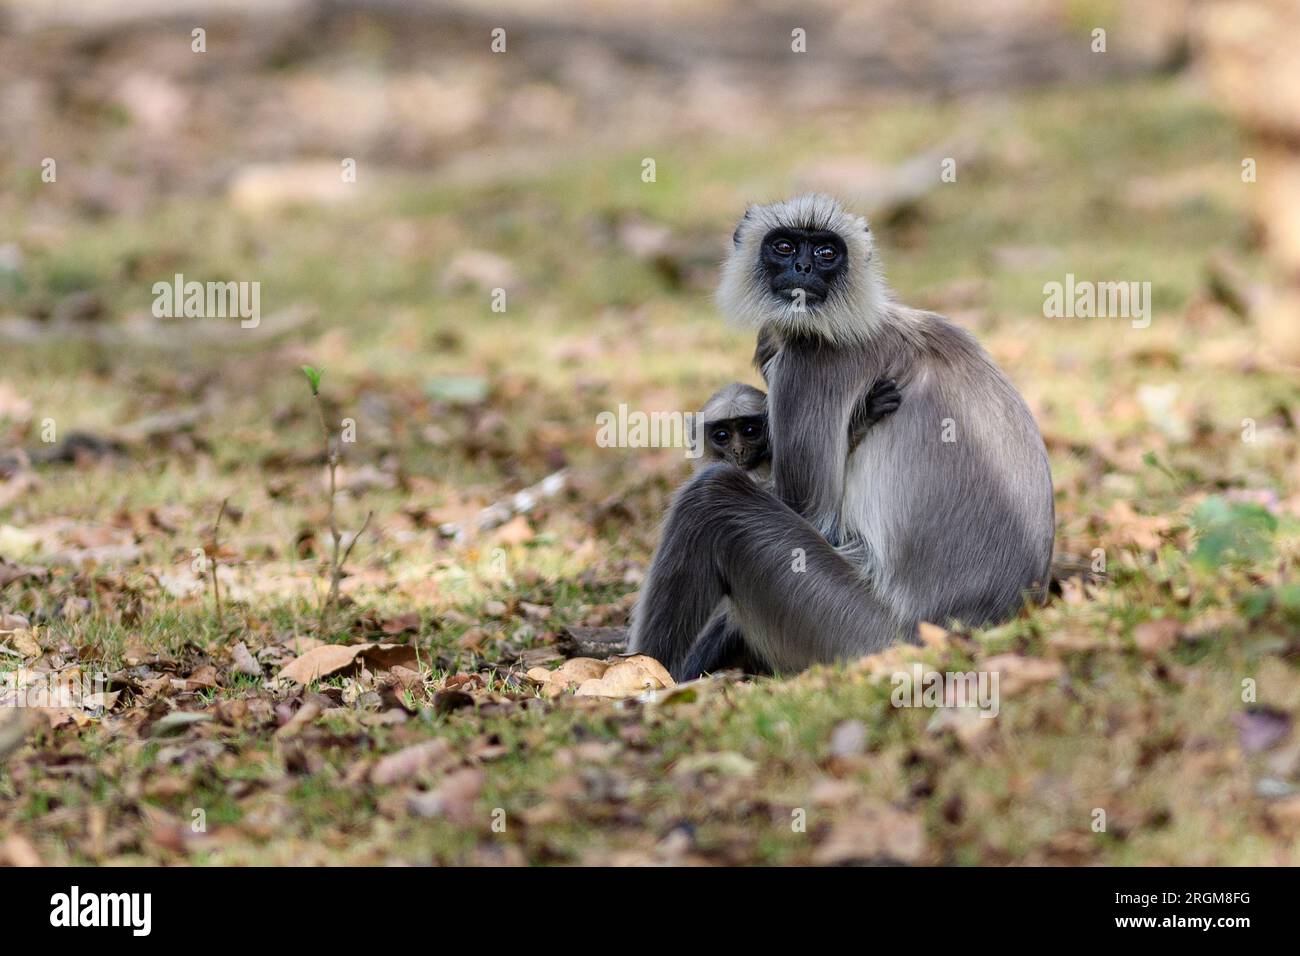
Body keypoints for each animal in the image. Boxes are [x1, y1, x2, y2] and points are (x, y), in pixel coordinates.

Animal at [629, 193, 1054, 681]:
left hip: (855, 630)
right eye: (784, 246)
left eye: (826, 252)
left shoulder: (810, 357)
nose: (804, 268)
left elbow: (812, 513)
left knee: (714, 497)